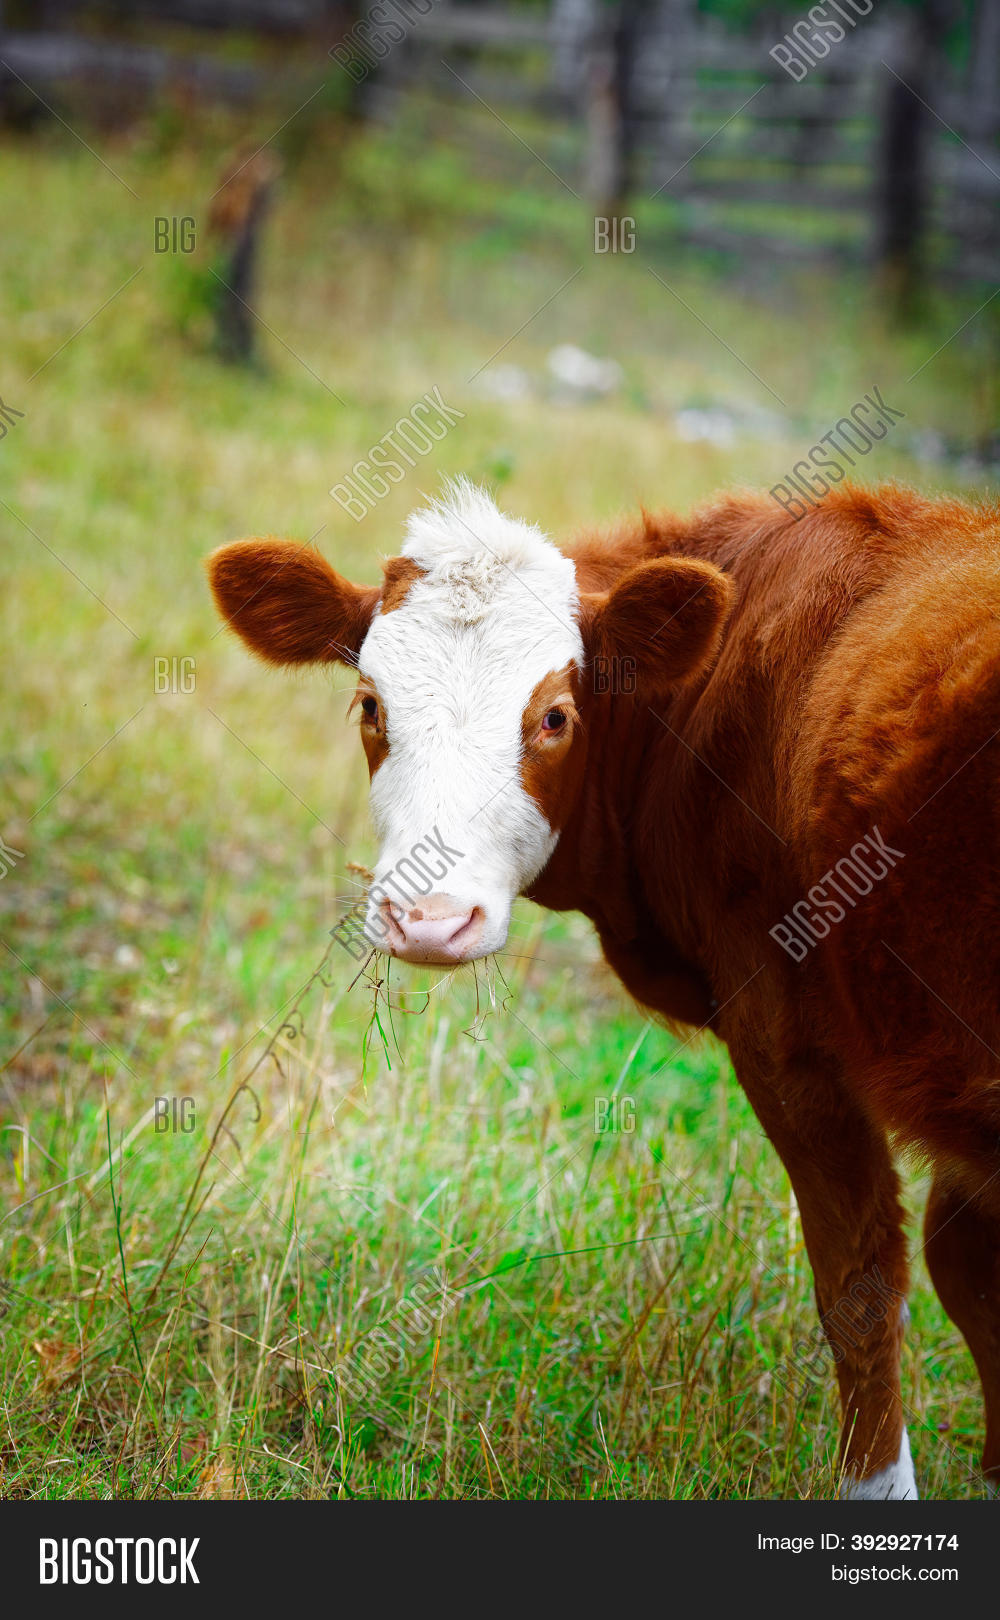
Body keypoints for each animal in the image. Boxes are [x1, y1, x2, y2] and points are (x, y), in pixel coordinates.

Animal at [208, 477, 1000, 1500]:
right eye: (369, 705)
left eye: (554, 717)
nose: (429, 916)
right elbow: (965, 1267)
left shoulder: (788, 1038)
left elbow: (862, 1285)